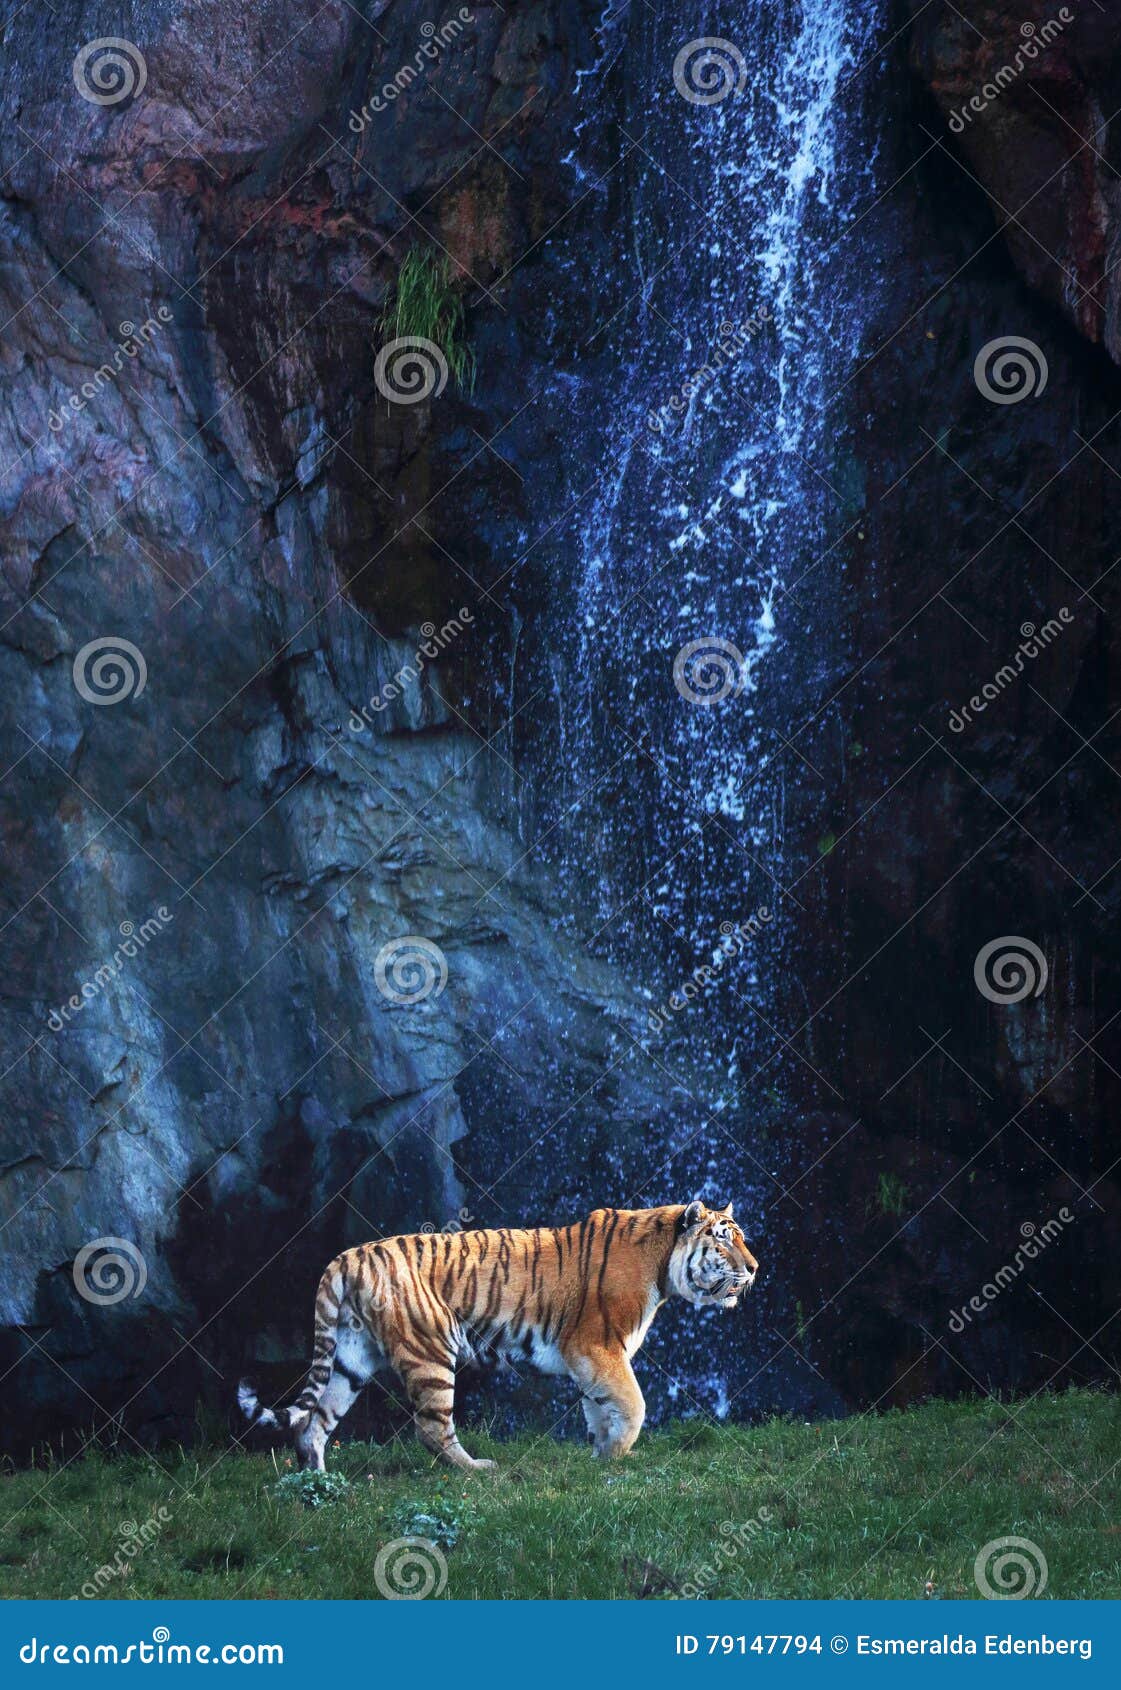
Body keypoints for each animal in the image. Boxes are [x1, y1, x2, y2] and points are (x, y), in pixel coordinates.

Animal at [238, 1200, 758, 1471]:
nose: (755, 1268)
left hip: (351, 1357)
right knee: (431, 1428)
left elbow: (599, 1409)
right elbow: (633, 1405)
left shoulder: (591, 1360)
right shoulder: (596, 1346)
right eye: (724, 1240)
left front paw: (598, 1457)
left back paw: (318, 1484)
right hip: (431, 1350)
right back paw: (476, 1470)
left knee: (314, 1422)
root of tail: (348, 1257)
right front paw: (615, 1457)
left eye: (742, 1238)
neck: (663, 1266)